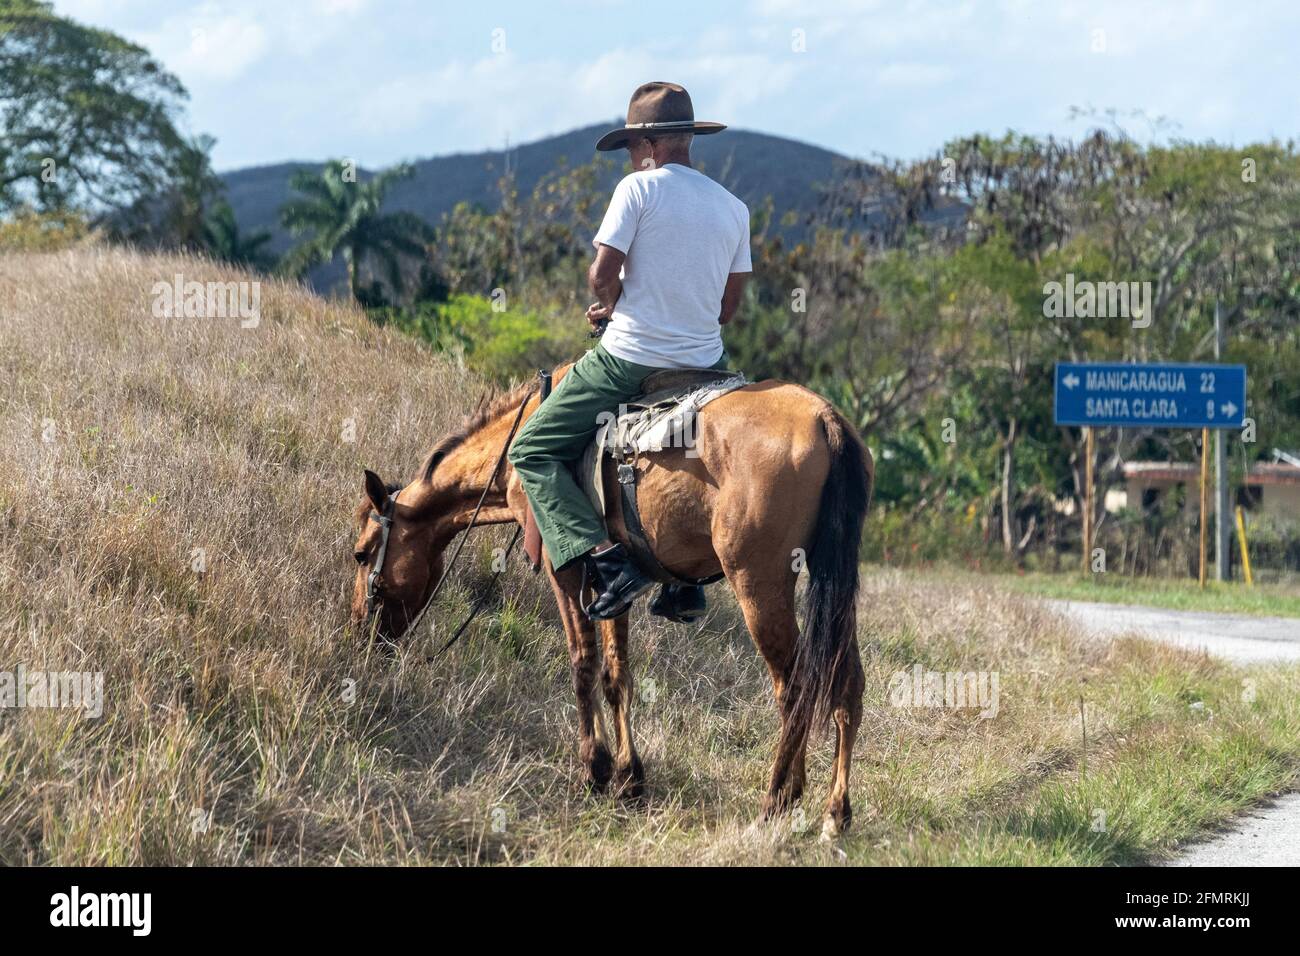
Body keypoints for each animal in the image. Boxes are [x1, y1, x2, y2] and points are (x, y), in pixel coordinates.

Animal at [349, 362, 873, 838]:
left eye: (361, 553)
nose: (361, 631)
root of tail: (825, 418)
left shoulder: (565, 571)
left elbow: (582, 663)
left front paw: (595, 770)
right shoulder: (610, 583)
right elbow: (616, 674)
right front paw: (629, 780)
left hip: (759, 583)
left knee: (796, 687)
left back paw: (776, 802)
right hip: (830, 583)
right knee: (845, 681)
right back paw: (834, 814)